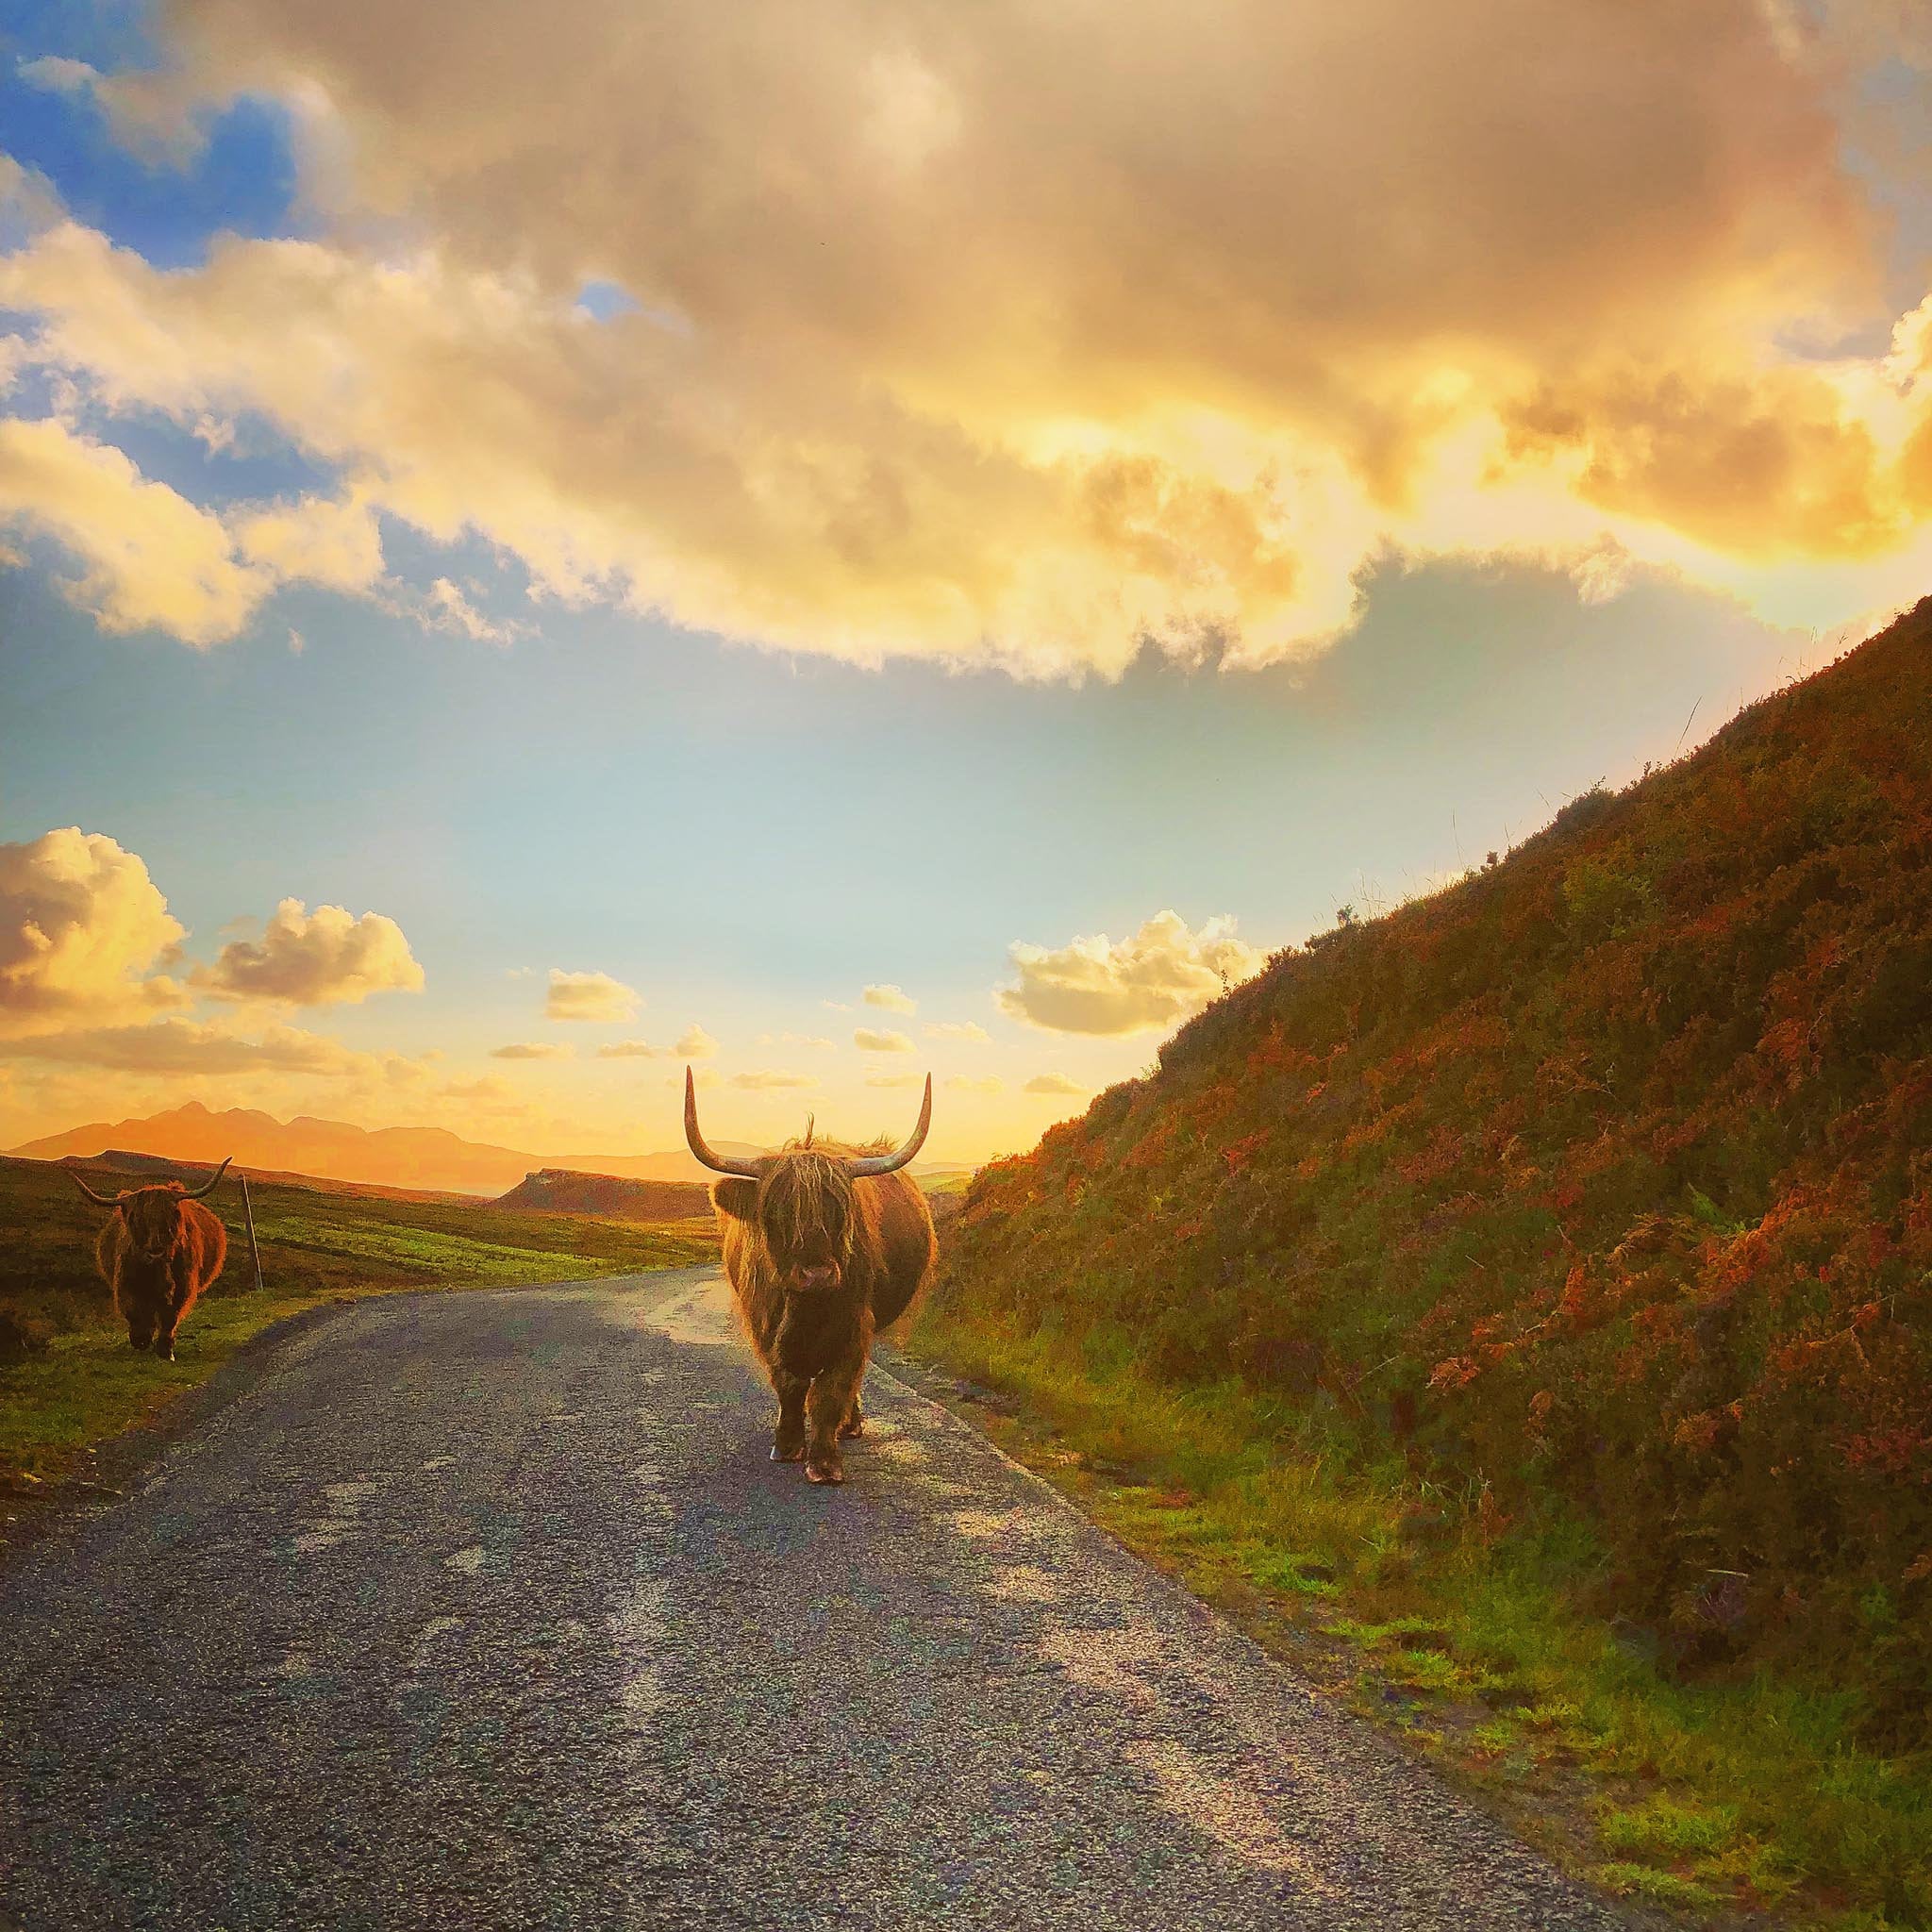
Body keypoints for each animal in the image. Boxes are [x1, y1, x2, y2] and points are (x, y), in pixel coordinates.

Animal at [65, 1160, 233, 1361]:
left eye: (172, 1216)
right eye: (136, 1219)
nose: (155, 1252)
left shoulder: (183, 1287)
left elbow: (170, 1317)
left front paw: (165, 1350)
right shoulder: (126, 1284)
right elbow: (134, 1312)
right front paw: (141, 1340)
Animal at [685, 1068, 936, 1486]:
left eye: (840, 1212)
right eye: (776, 1213)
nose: (817, 1275)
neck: (808, 1311)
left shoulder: (852, 1326)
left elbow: (831, 1391)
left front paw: (824, 1462)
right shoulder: (767, 1328)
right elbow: (790, 1385)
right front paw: (787, 1446)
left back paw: (850, 1425)